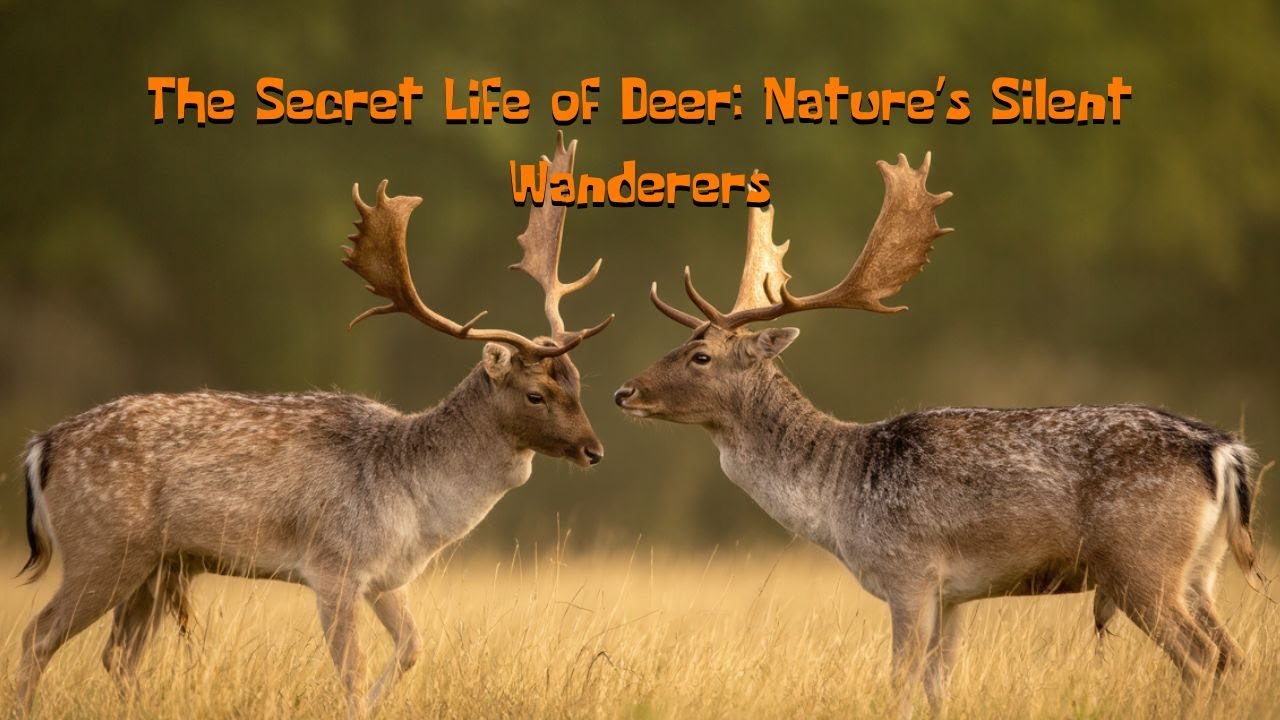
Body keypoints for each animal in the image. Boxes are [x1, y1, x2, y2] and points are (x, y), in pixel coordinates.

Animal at [13, 132, 612, 719]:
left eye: (579, 384)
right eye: (536, 394)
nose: (595, 451)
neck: (416, 506)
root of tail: (42, 446)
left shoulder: (385, 576)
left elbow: (412, 647)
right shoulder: (335, 567)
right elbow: (352, 672)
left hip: (162, 566)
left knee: (118, 656)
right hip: (105, 547)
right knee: (37, 636)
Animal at [613, 152, 1262, 718]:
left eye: (700, 356)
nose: (624, 392)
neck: (839, 496)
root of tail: (1222, 450)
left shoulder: (910, 572)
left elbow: (900, 679)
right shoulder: (955, 594)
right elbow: (939, 683)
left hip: (1140, 563)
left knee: (1199, 659)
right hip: (1200, 571)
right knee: (1231, 657)